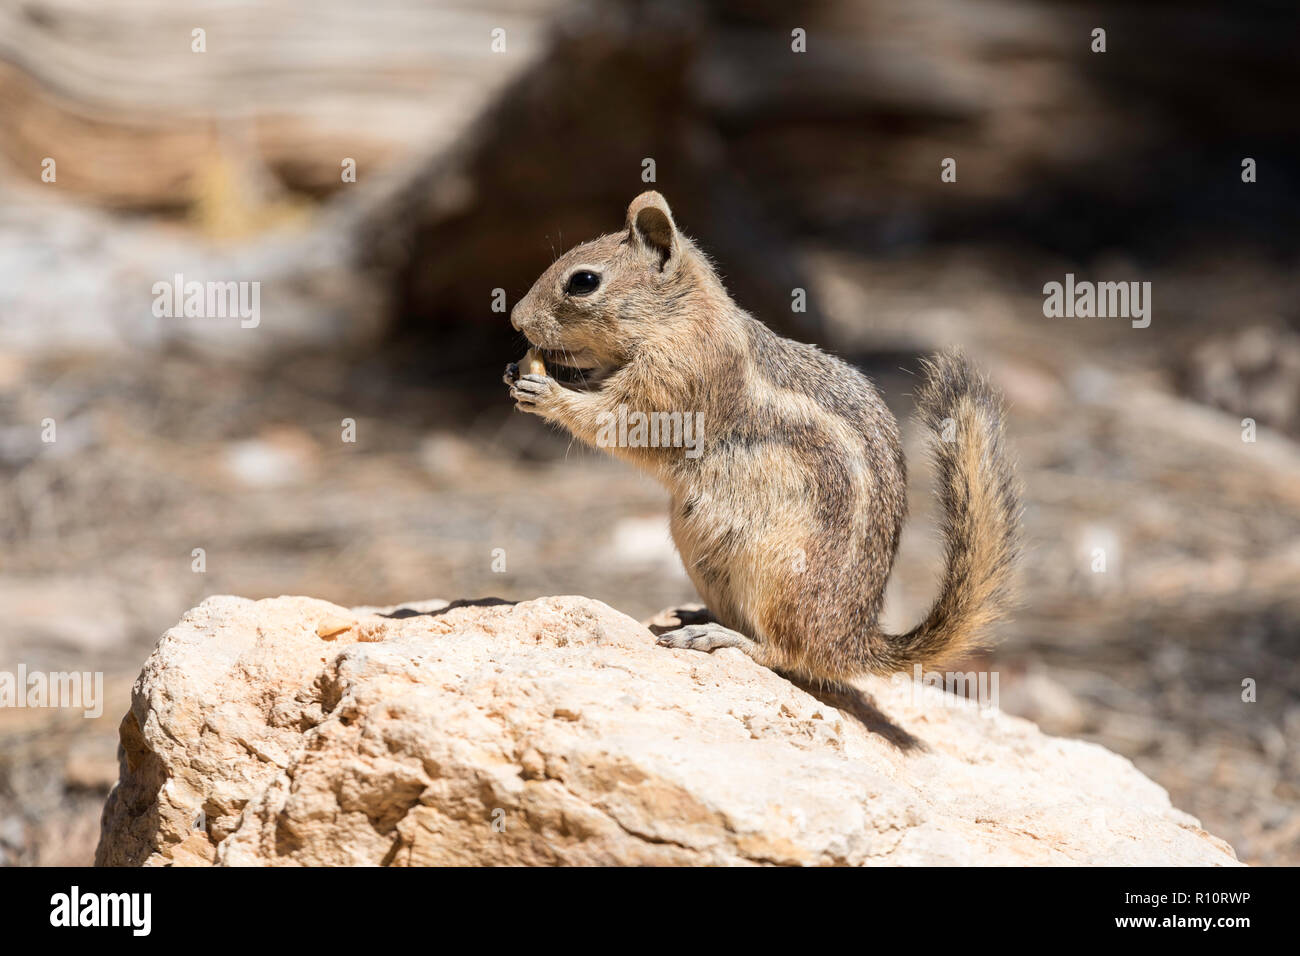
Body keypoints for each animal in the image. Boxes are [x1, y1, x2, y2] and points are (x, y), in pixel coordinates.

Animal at [506, 191, 1021, 683]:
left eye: (583, 281)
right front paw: (518, 372)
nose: (515, 319)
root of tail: (852, 642)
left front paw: (547, 392)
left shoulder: (674, 386)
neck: (679, 320)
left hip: (776, 571)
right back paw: (696, 614)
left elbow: (617, 421)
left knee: (786, 653)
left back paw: (719, 637)